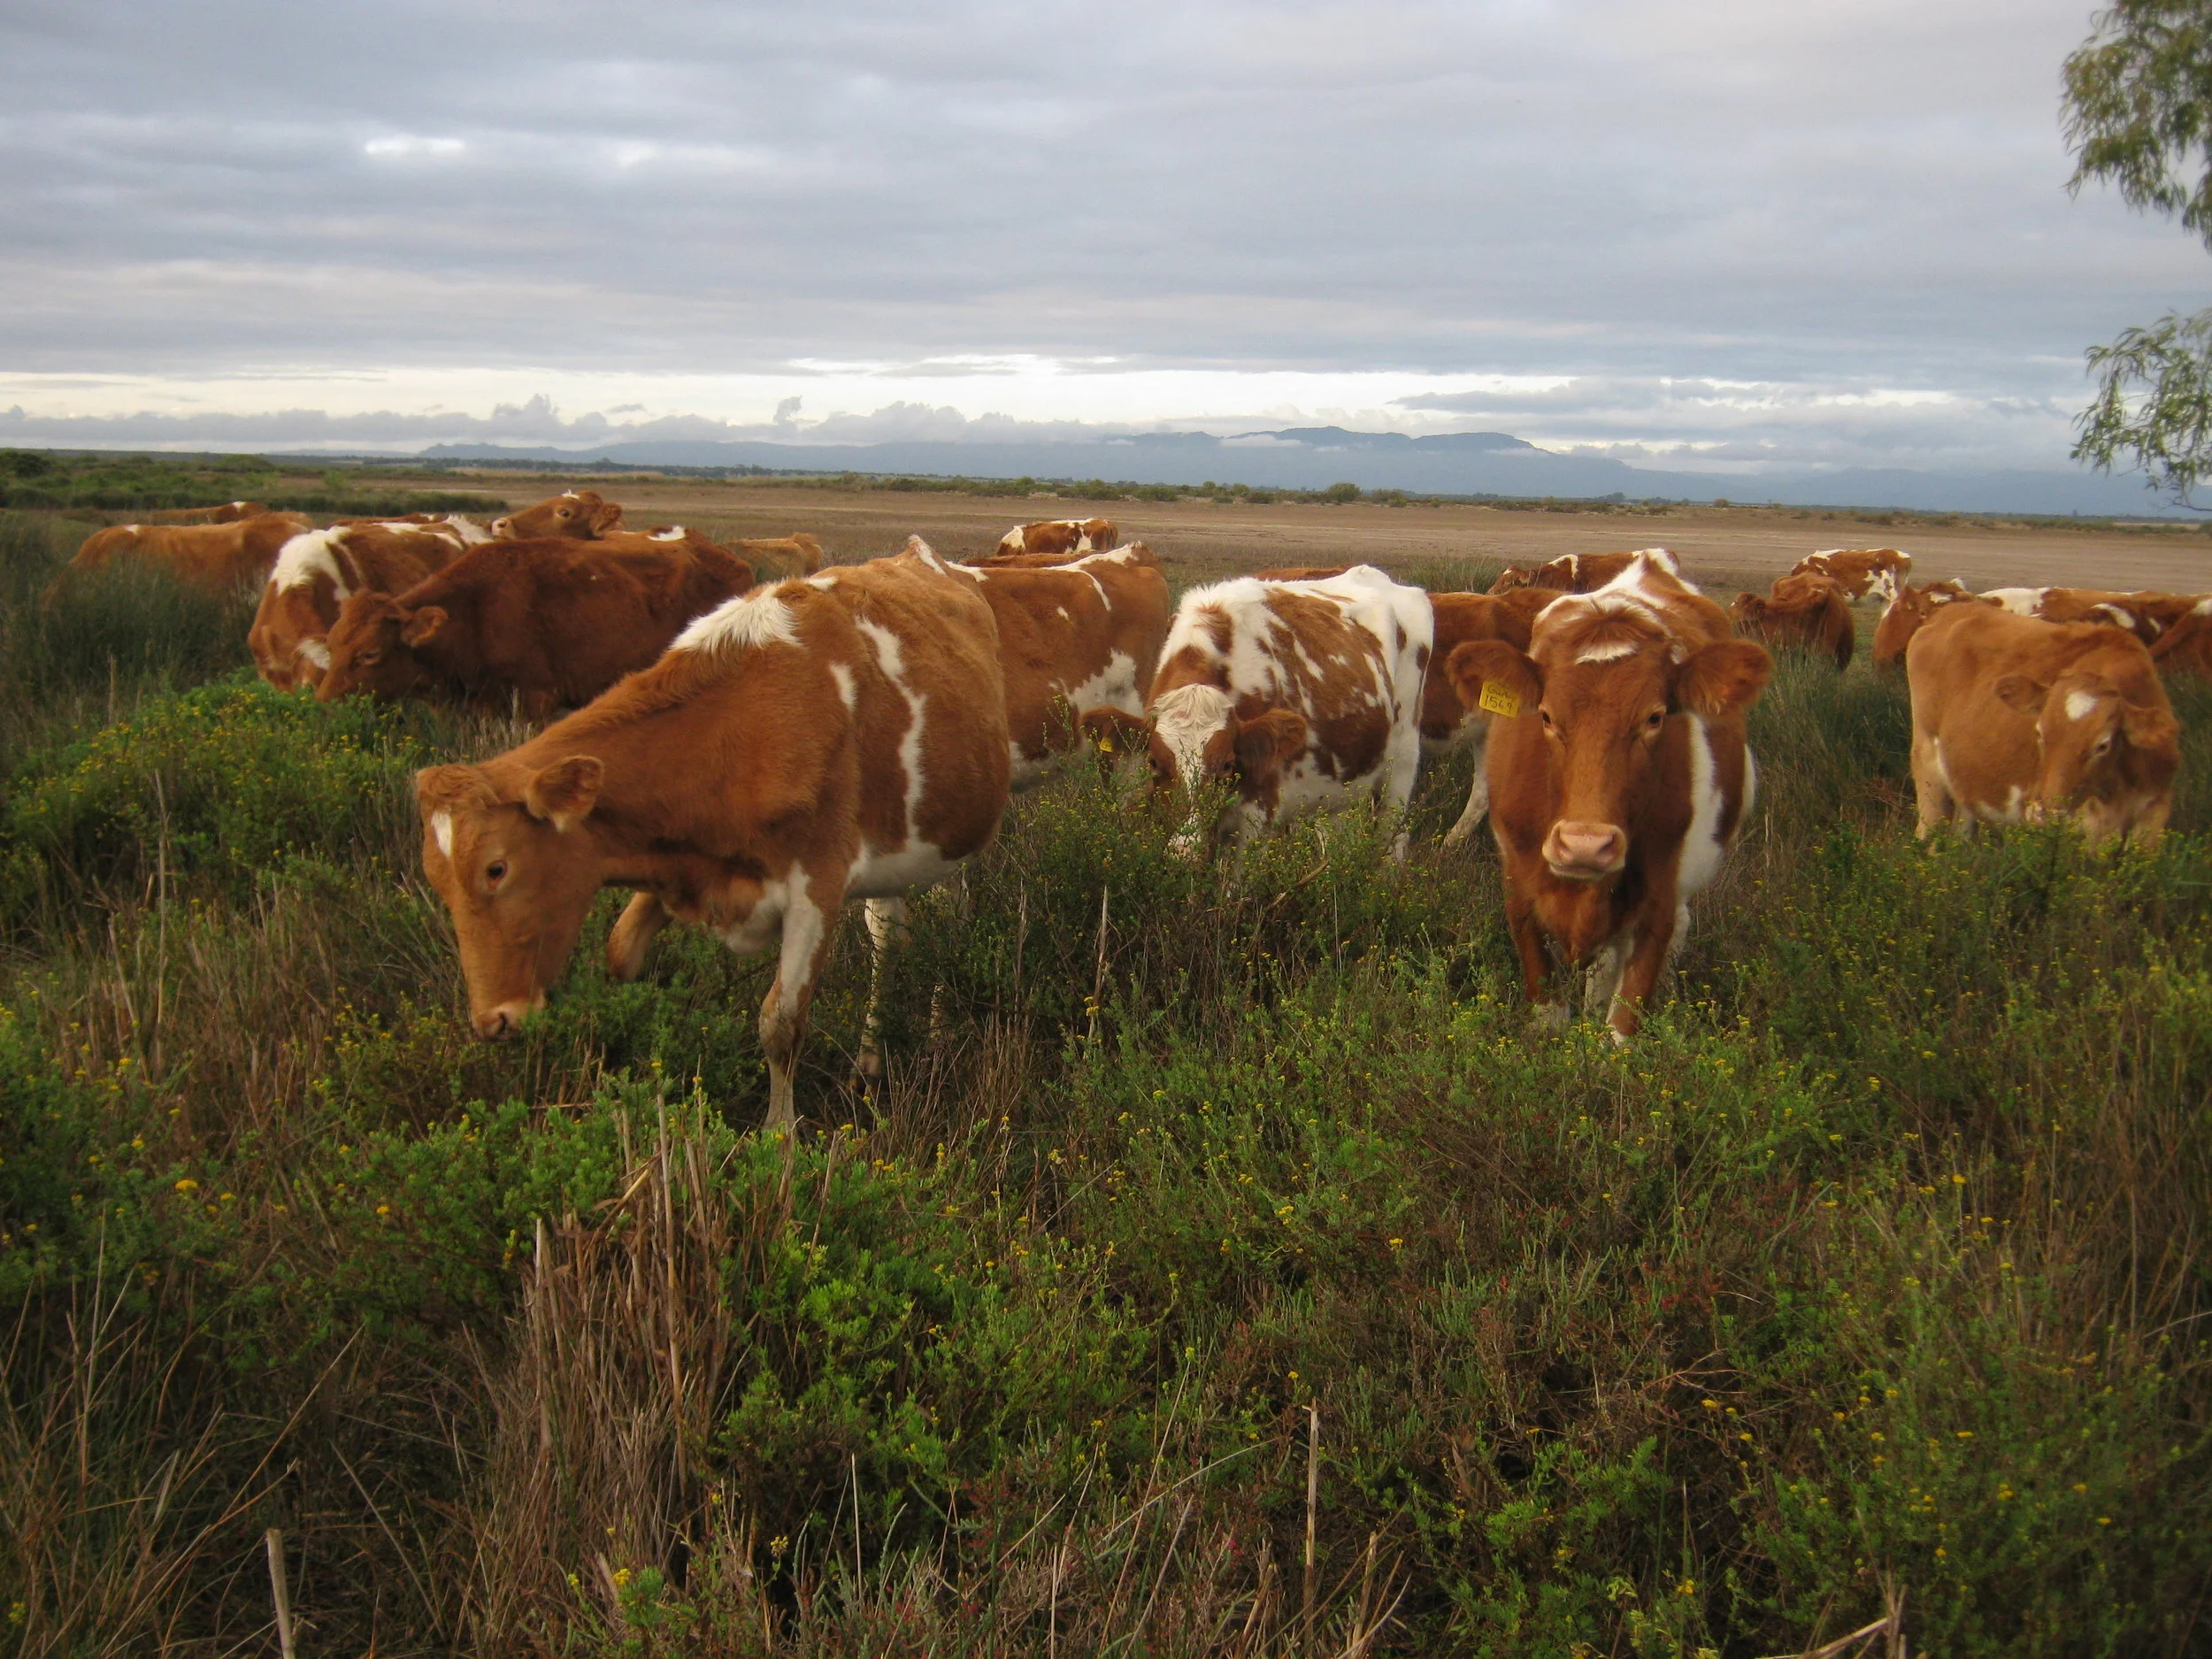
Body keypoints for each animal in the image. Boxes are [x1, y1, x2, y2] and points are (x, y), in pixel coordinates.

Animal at [413, 541, 1012, 1130]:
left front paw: (778, 1139)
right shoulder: (672, 864)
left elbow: (781, 1024)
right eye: (436, 882)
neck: (740, 734)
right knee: (889, 939)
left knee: (945, 923)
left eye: (497, 868)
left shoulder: (816, 885)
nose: (494, 1019)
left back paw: (935, 1032)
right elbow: (620, 955)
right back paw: (869, 1060)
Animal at [1082, 565, 1434, 856]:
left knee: (1392, 842)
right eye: (1154, 762)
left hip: (1401, 768)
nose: (1184, 847)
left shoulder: (1257, 815)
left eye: (1226, 764)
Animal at [1446, 553, 1771, 1042]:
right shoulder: (1518, 884)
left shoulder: (1658, 902)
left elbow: (1620, 1033)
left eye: (1655, 717)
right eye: (1545, 715)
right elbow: (1546, 1009)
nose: (1585, 845)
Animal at [1906, 604, 2179, 850]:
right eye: (2040, 734)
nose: (2045, 813)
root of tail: (1948, 611)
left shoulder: (2156, 812)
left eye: (2103, 745)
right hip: (1927, 764)